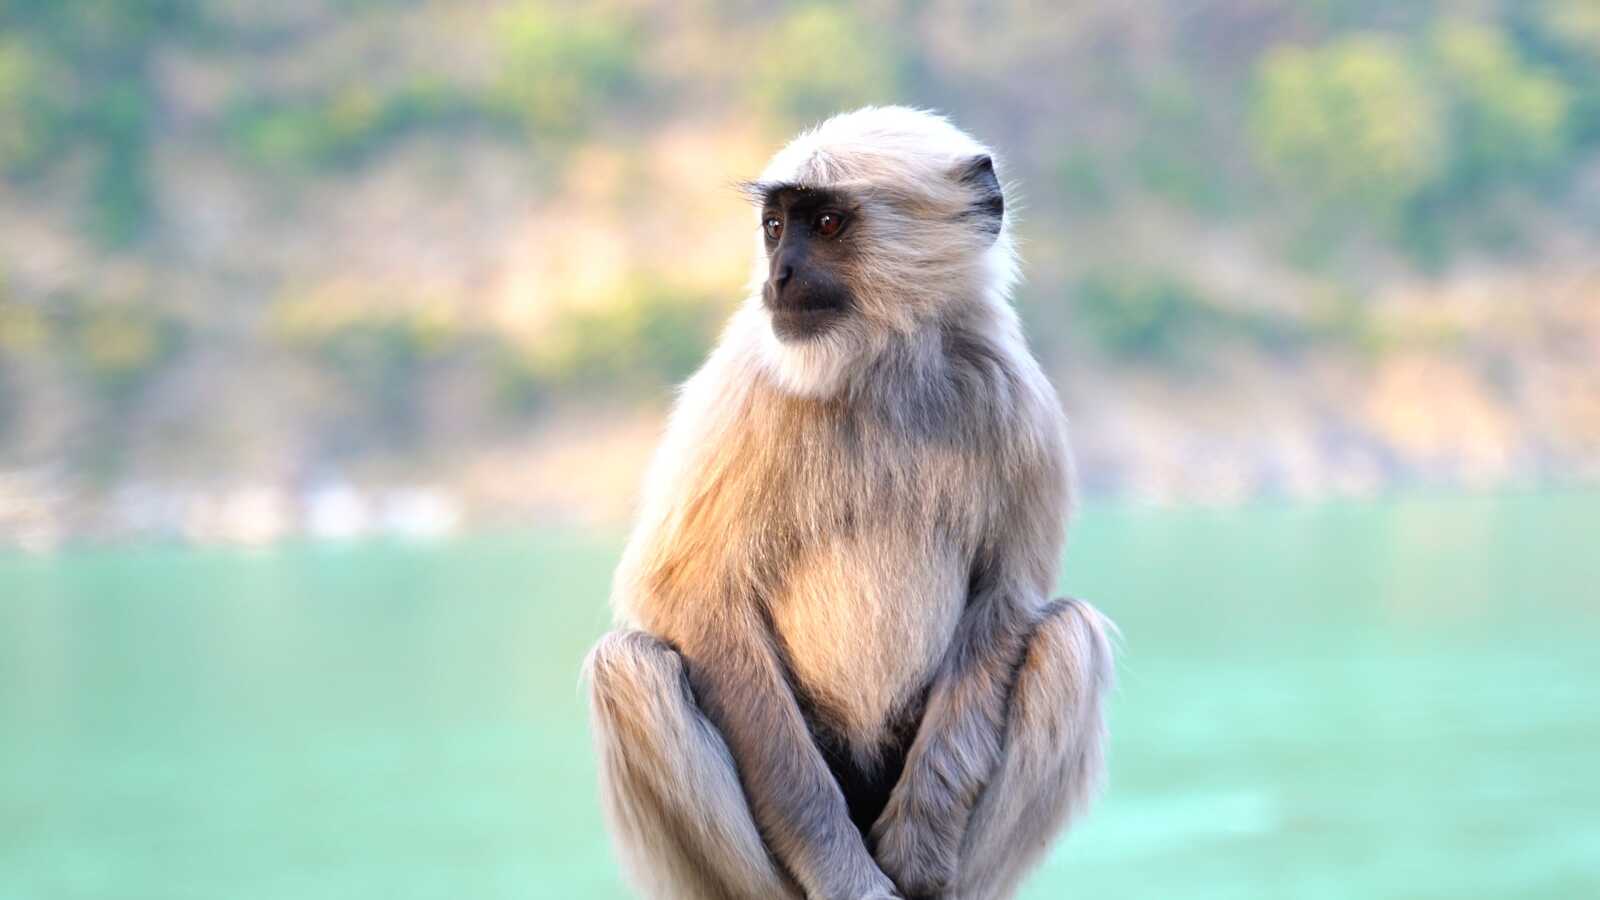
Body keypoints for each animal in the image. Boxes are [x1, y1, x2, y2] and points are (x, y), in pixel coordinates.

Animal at [584, 107, 1115, 900]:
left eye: (829, 223)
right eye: (776, 226)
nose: (779, 275)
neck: (879, 366)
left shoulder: (1016, 399)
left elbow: (1004, 599)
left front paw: (919, 855)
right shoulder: (749, 384)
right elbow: (686, 593)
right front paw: (848, 880)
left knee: (1066, 638)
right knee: (631, 666)